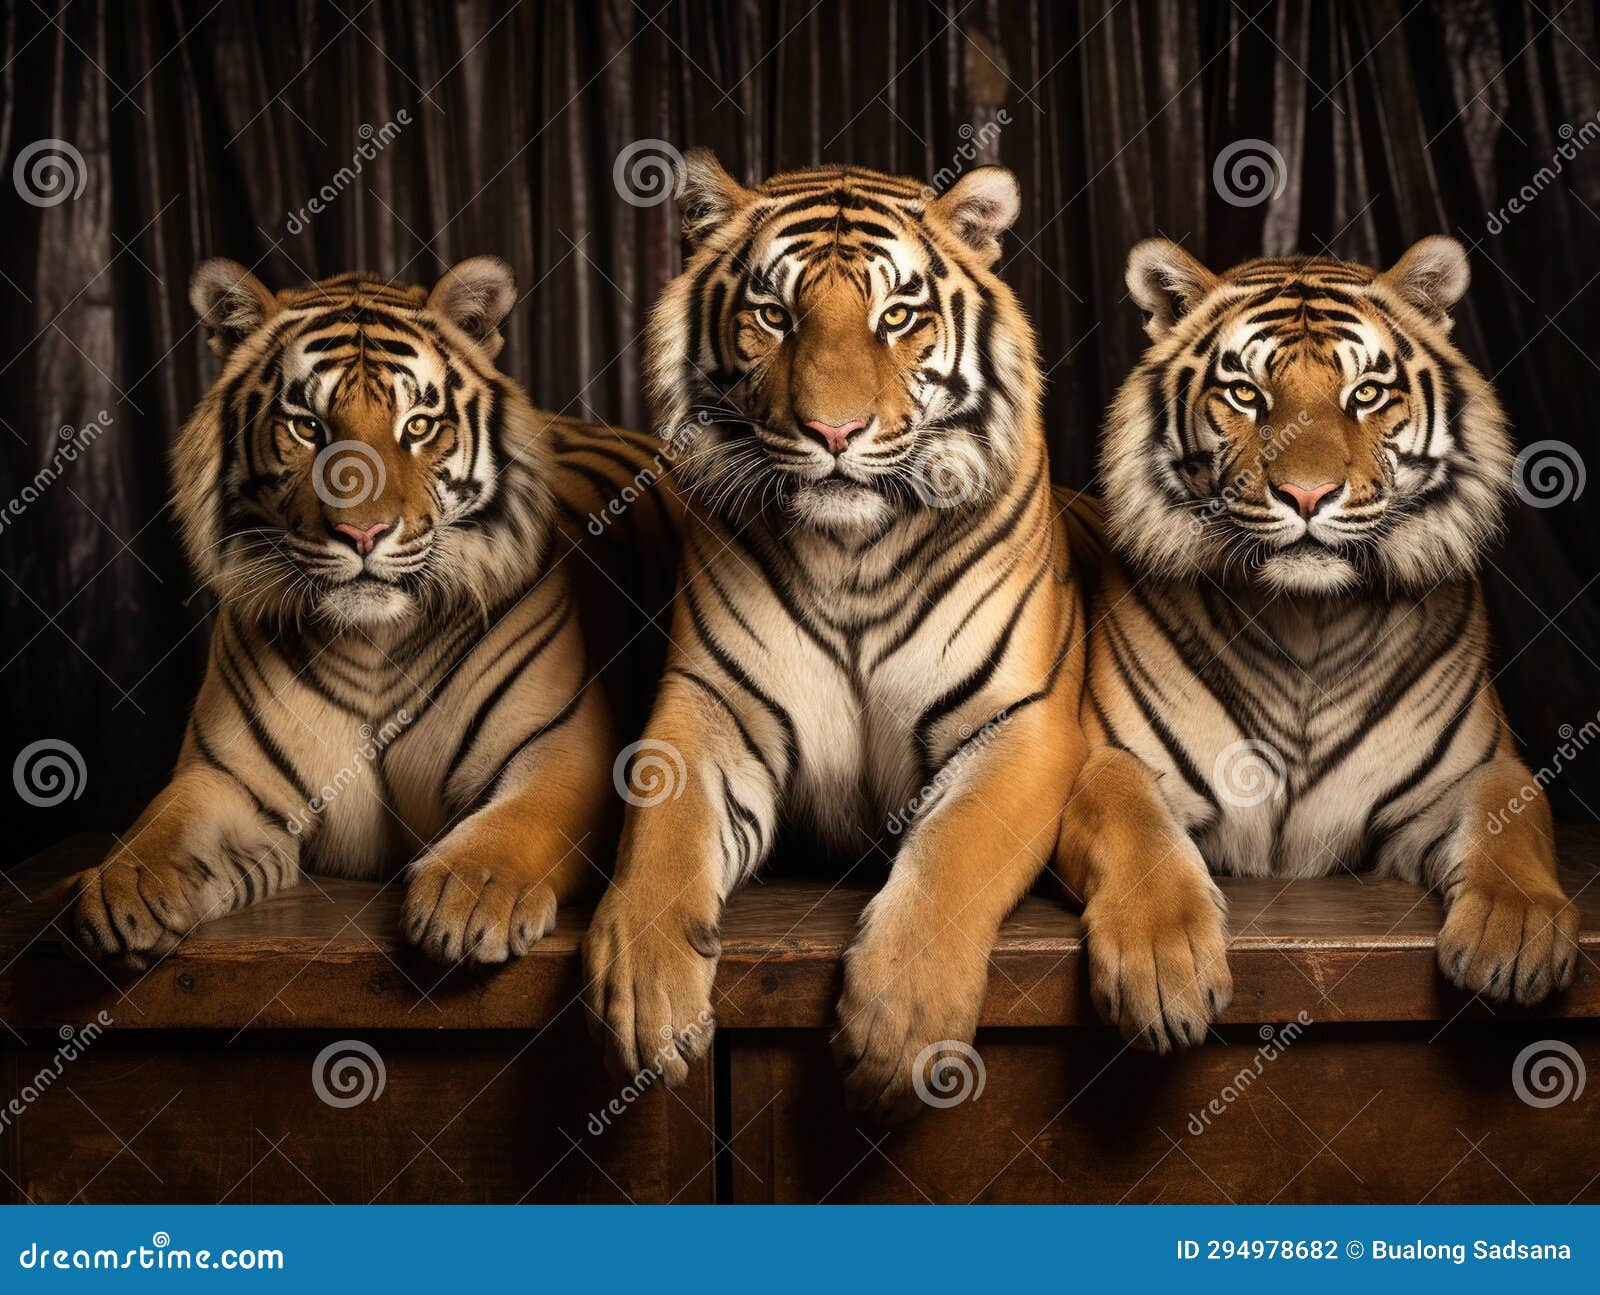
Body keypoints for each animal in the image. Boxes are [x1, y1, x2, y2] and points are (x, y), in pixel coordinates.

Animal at [63, 257, 680, 968]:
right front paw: (124, 889)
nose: (363, 534)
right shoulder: (225, 776)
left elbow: (518, 820)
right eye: (308, 427)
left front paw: (470, 893)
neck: (374, 643)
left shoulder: (561, 748)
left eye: (417, 426)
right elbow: (162, 826)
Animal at [581, 152, 1088, 1121]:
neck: (853, 552)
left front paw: (900, 1026)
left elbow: (955, 850)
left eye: (897, 316)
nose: (835, 431)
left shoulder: (1018, 720)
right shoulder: (712, 702)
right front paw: (644, 985)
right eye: (775, 315)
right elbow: (662, 831)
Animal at [1055, 236, 1580, 1052]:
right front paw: (1160, 960)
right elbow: (1129, 821)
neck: (1306, 624)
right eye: (1245, 394)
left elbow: (1514, 813)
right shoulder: (1107, 759)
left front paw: (1515, 934)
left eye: (1365, 394)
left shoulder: (1470, 772)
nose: (1306, 495)